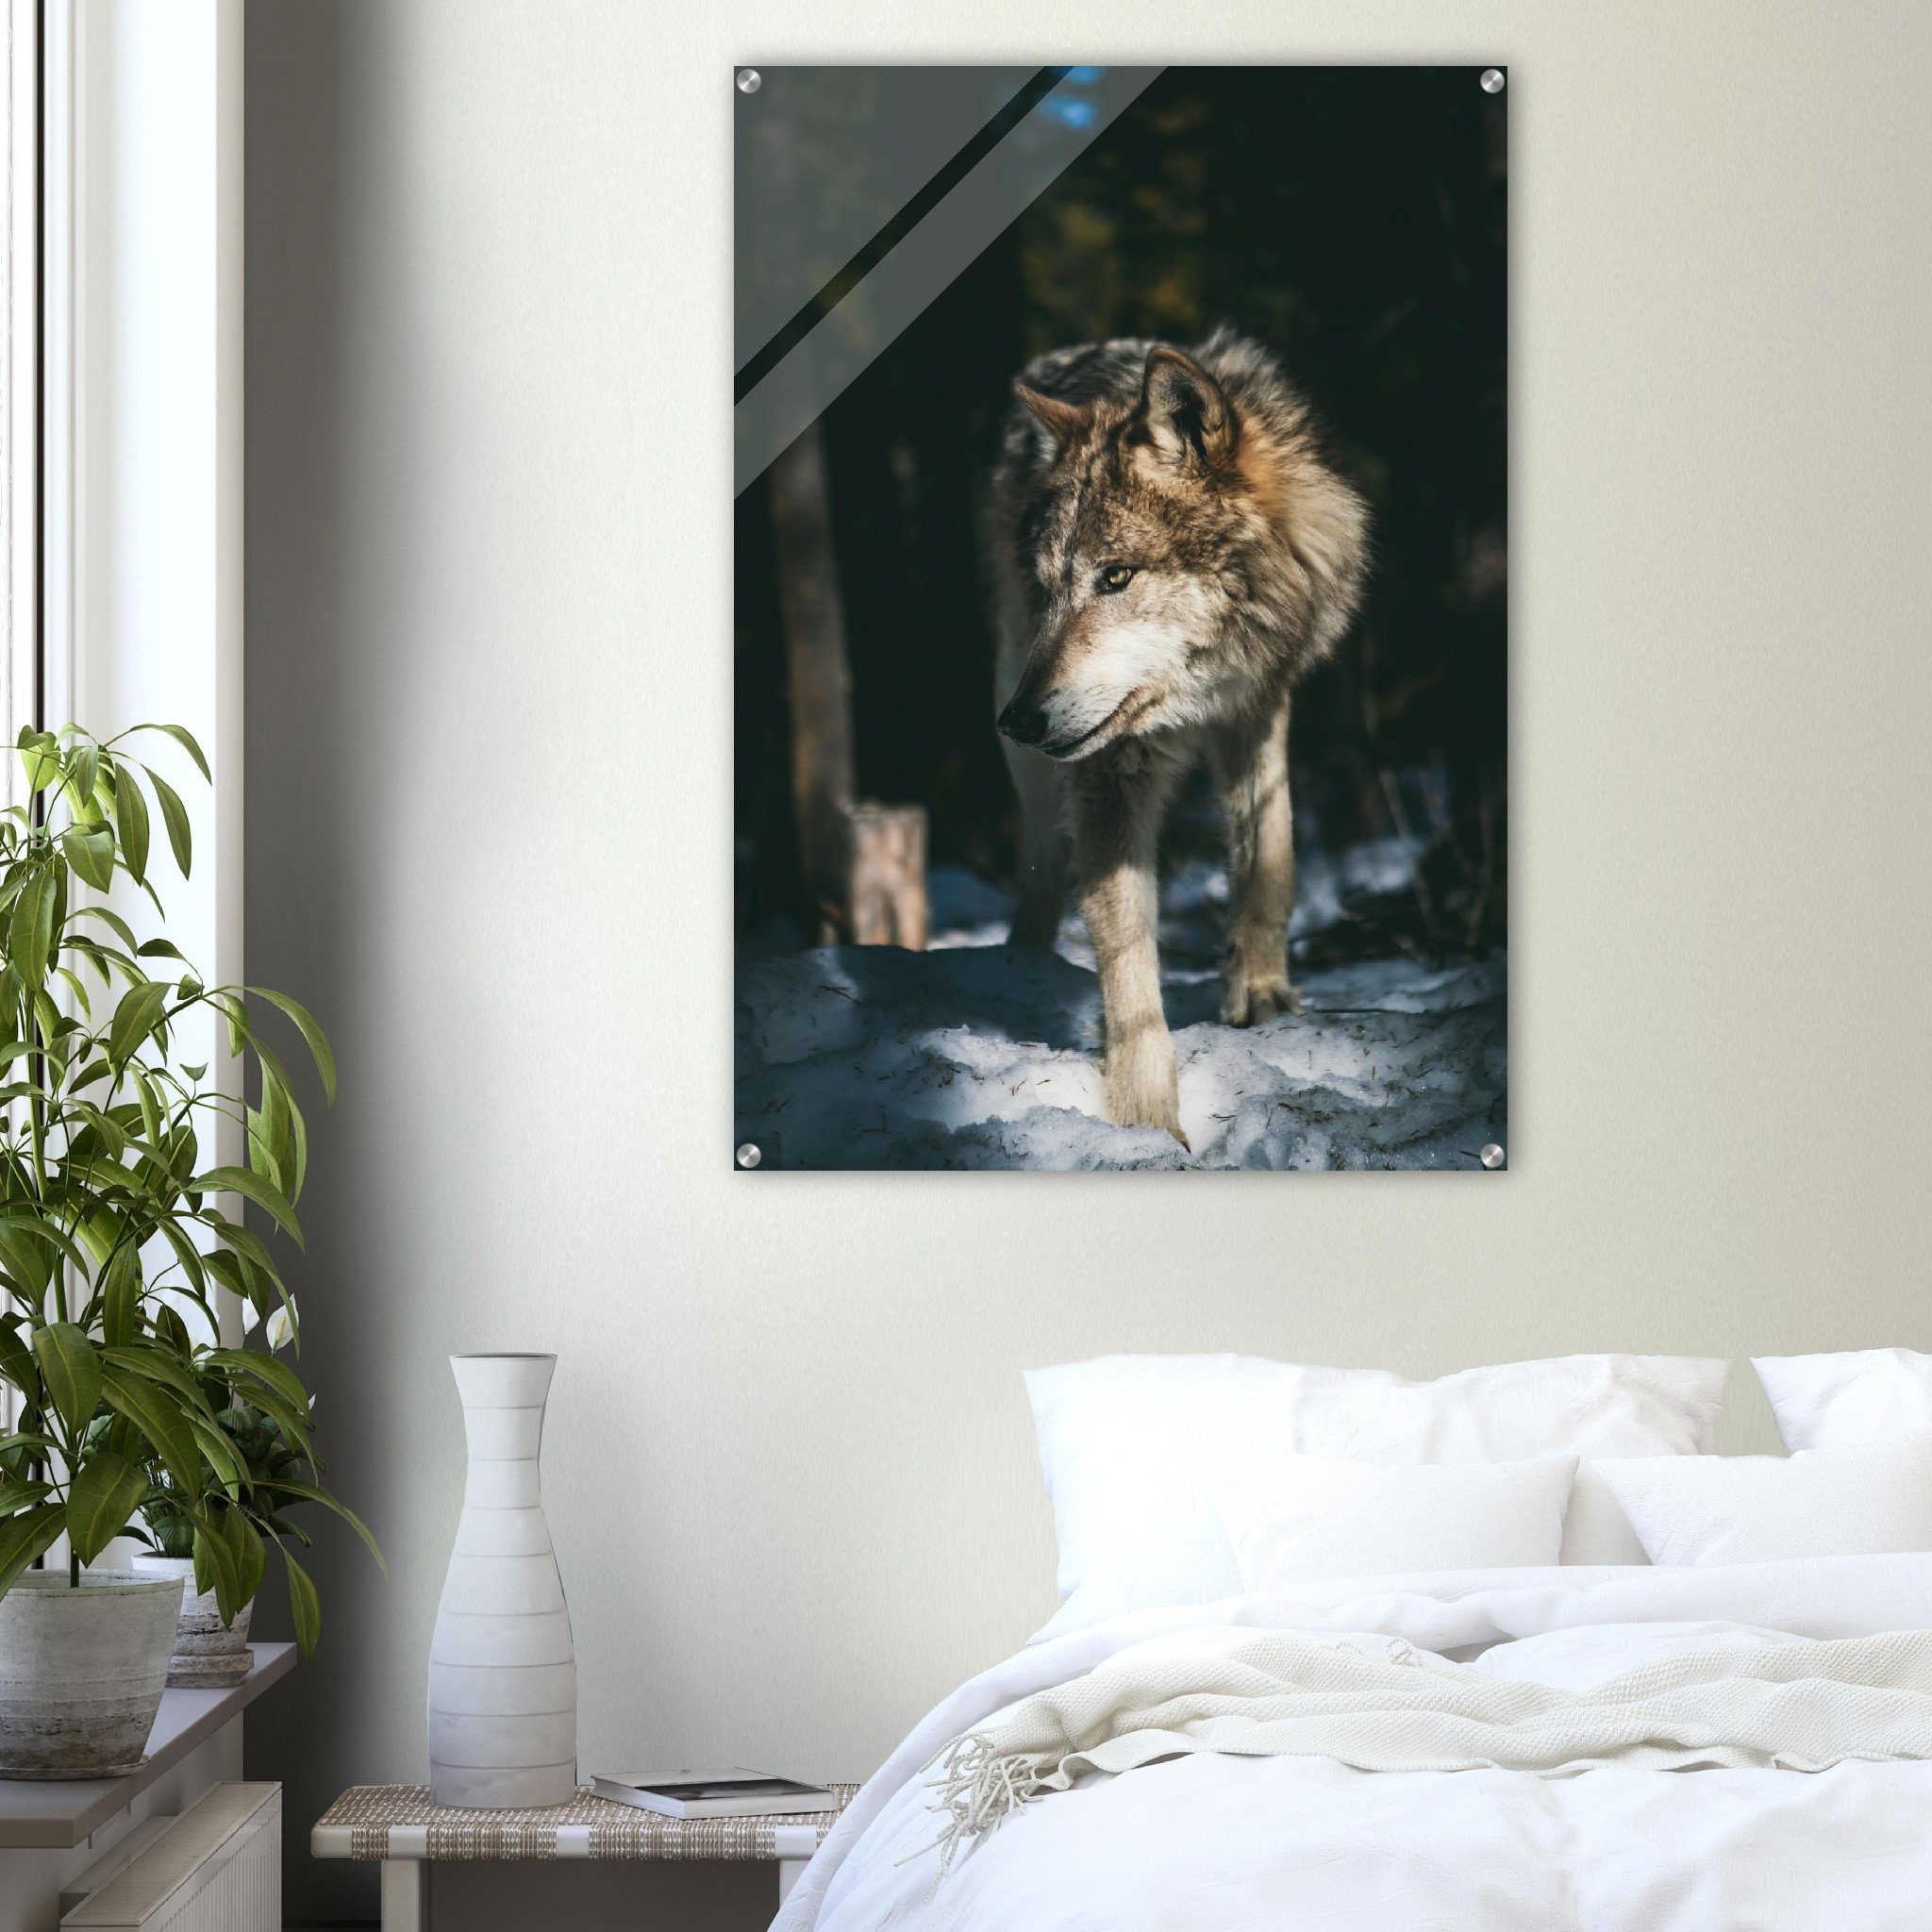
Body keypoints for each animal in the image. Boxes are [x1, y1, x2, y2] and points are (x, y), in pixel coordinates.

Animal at [984, 326, 1370, 1147]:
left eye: (1116, 577)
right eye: (1050, 588)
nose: (1018, 719)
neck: (1197, 690)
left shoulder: (1259, 702)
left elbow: (1271, 858)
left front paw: (1261, 995)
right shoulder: (1108, 768)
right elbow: (1127, 955)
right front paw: (1147, 1122)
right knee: (1044, 862)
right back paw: (1018, 964)